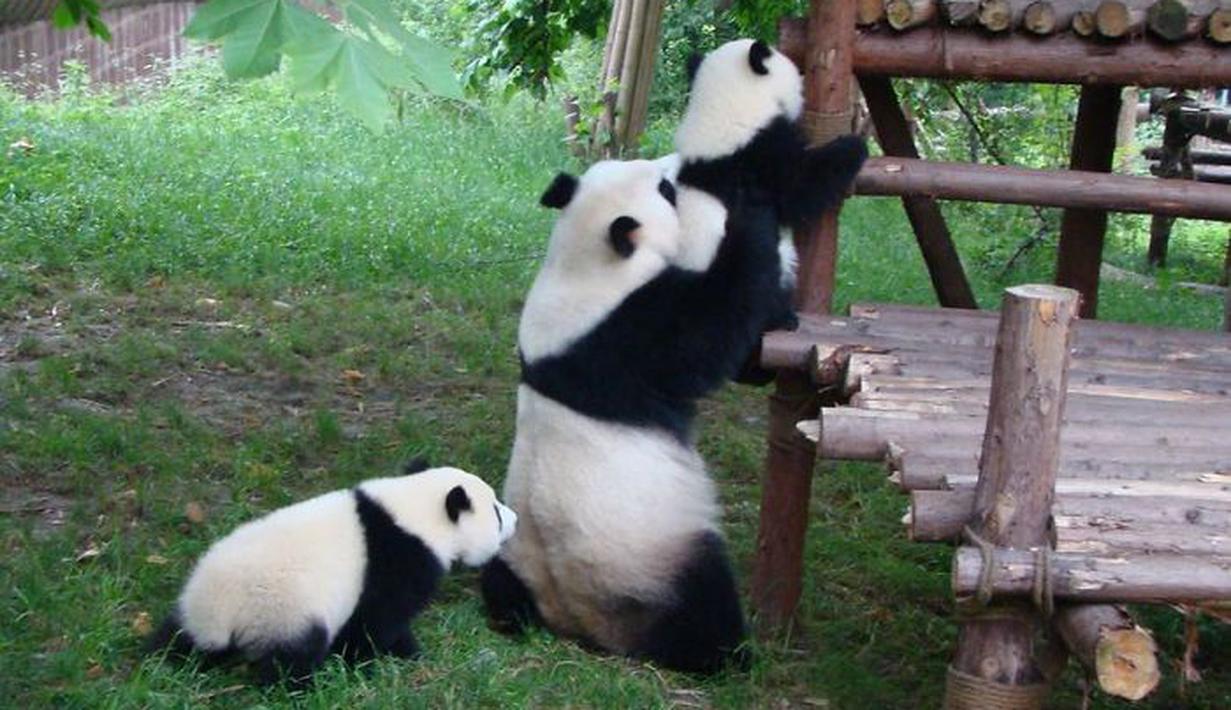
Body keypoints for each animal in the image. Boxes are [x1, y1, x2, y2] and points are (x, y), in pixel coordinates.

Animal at [149, 462, 516, 684]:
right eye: (496, 512)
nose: (514, 518)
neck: (411, 512)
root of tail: (224, 612)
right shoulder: (396, 560)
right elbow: (377, 621)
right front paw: (395, 655)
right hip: (286, 611)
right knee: (292, 657)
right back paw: (298, 686)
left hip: (196, 603)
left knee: (179, 638)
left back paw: (165, 659)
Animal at [479, 158, 785, 674]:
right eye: (665, 190)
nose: (676, 164)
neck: (584, 266)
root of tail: (578, 621)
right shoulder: (631, 335)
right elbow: (713, 332)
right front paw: (751, 213)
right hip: (654, 562)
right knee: (703, 605)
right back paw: (730, 657)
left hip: (515, 546)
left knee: (499, 582)